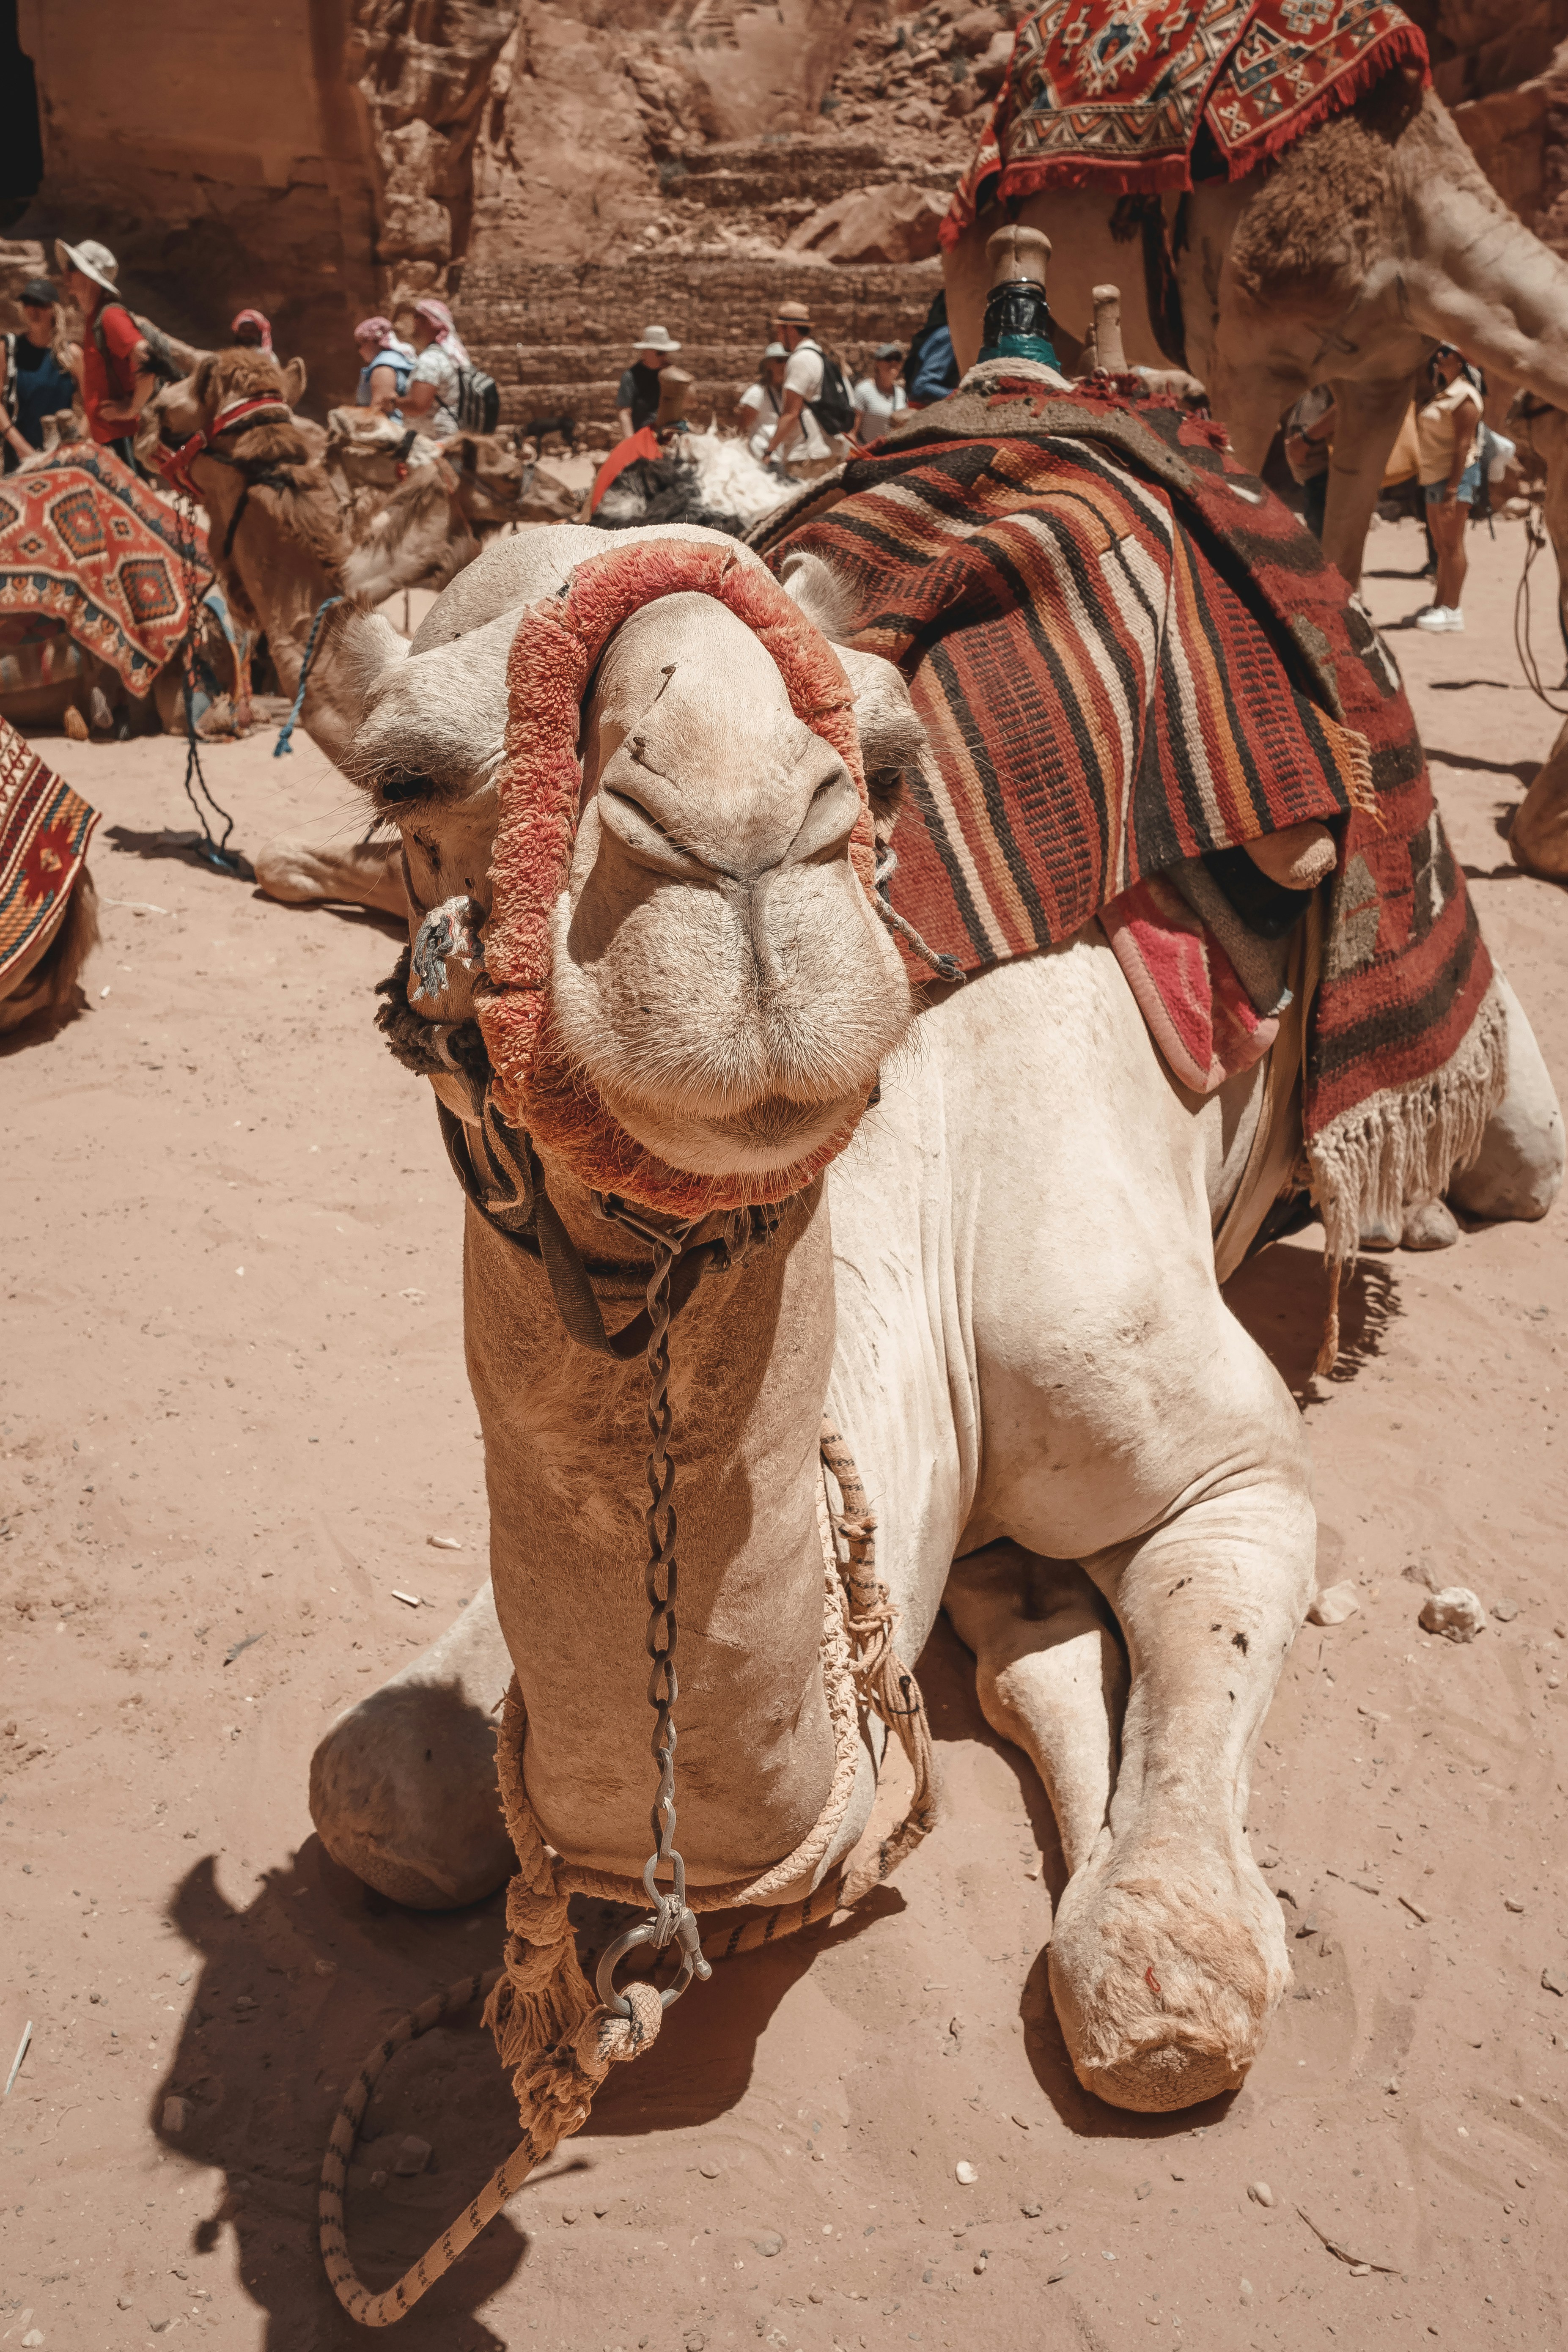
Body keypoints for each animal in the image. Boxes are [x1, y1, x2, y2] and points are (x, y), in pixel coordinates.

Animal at [302, 482, 1559, 2125]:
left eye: (892, 761)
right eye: (405, 780)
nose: (734, 832)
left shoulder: (1224, 1458)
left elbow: (1167, 1973)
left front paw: (1152, 1947)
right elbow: (377, 1779)